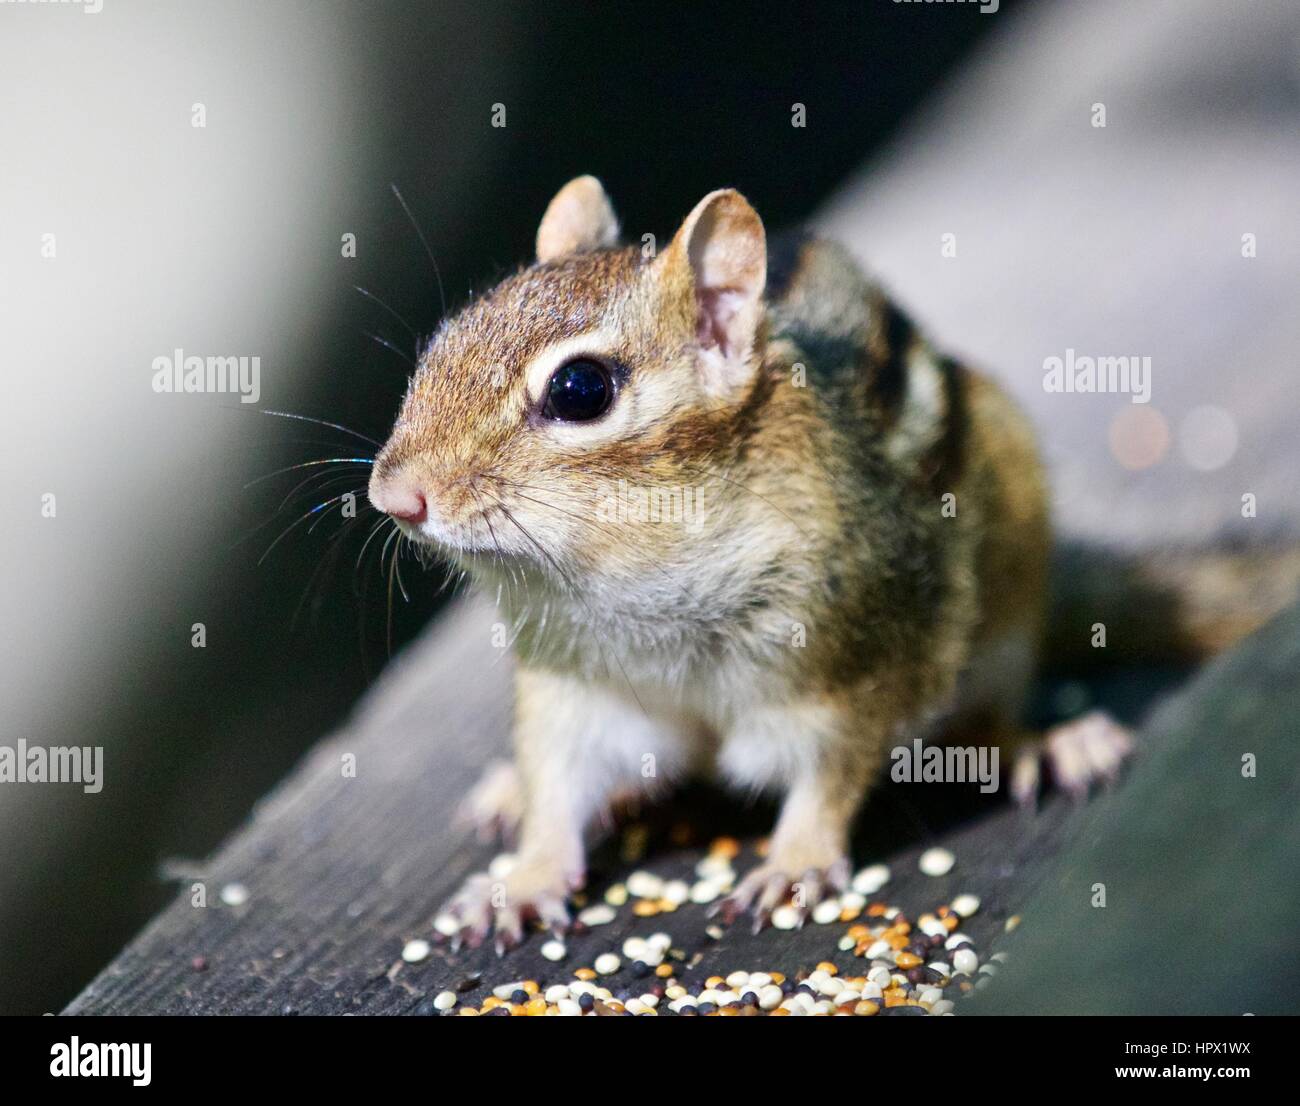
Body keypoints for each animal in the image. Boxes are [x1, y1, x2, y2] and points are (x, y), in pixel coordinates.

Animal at [368, 176, 1137, 950]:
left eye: (580, 389)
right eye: (442, 340)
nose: (394, 495)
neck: (640, 563)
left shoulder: (855, 659)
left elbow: (830, 773)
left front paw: (795, 865)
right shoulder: (570, 686)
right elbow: (556, 782)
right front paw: (524, 878)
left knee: (985, 721)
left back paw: (1047, 745)